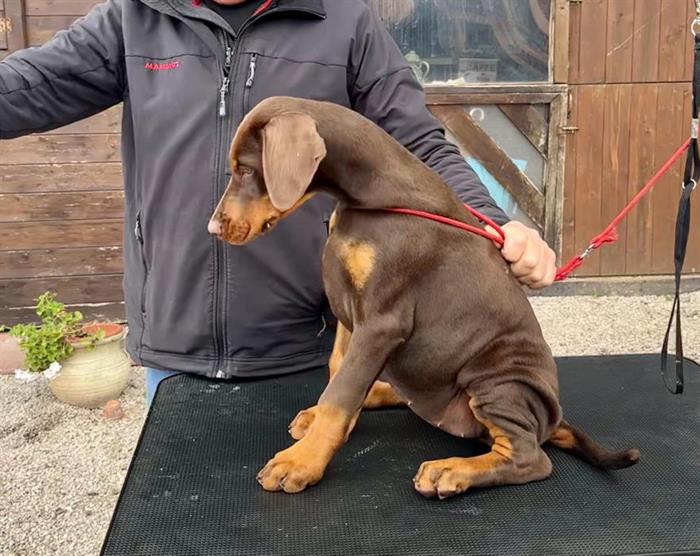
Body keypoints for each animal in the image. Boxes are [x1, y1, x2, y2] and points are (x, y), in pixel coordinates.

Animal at [208, 95, 640, 500]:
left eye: (246, 169)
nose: (213, 227)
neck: (367, 197)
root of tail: (551, 420)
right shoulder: (352, 312)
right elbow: (339, 372)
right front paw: (318, 423)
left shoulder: (382, 321)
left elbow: (341, 394)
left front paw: (301, 462)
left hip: (498, 379)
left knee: (527, 457)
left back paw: (451, 470)